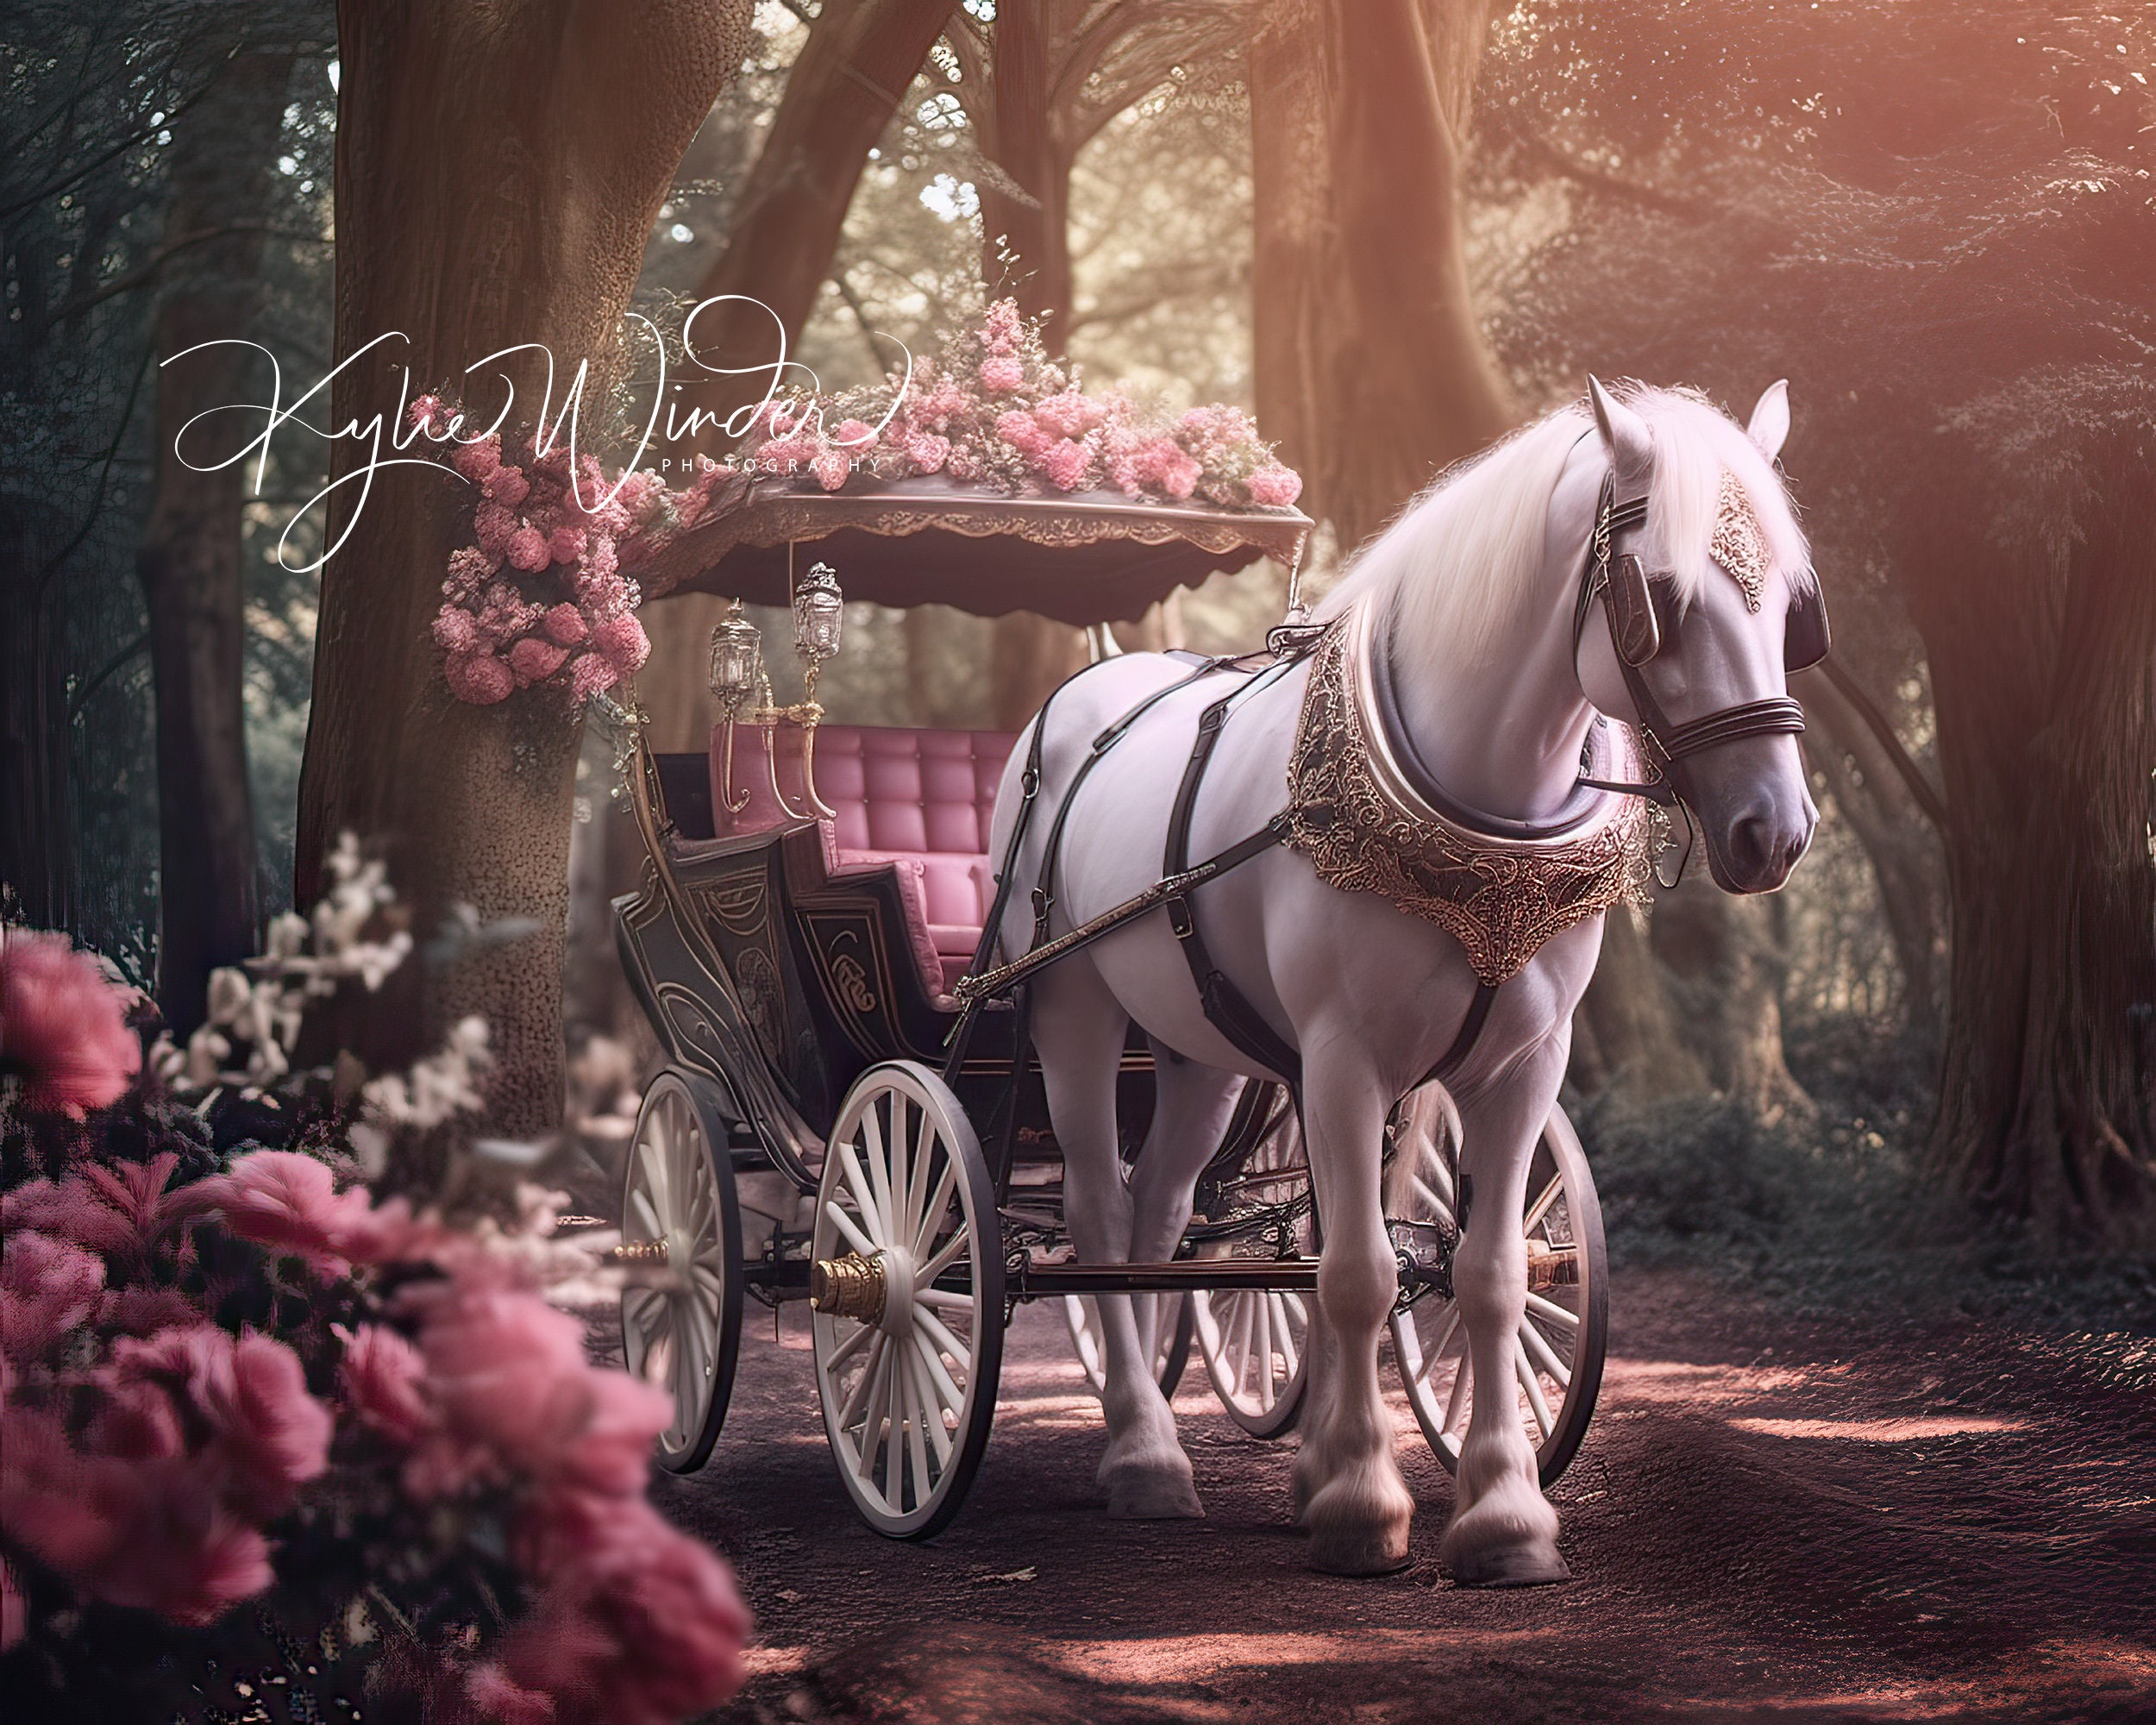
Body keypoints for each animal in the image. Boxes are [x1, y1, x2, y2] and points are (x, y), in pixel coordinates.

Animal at [988, 378, 1819, 1583]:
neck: (1482, 819)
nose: (1775, 831)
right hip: (1071, 1008)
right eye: (1659, 597)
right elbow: (1360, 1275)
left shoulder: (1520, 1064)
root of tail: (1082, 692)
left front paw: (1499, 1514)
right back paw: (1142, 1452)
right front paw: (1360, 1507)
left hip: (1200, 1050)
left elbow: (1482, 1272)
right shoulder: (1343, 1054)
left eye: (1794, 610)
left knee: (1160, 1217)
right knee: (1100, 1214)